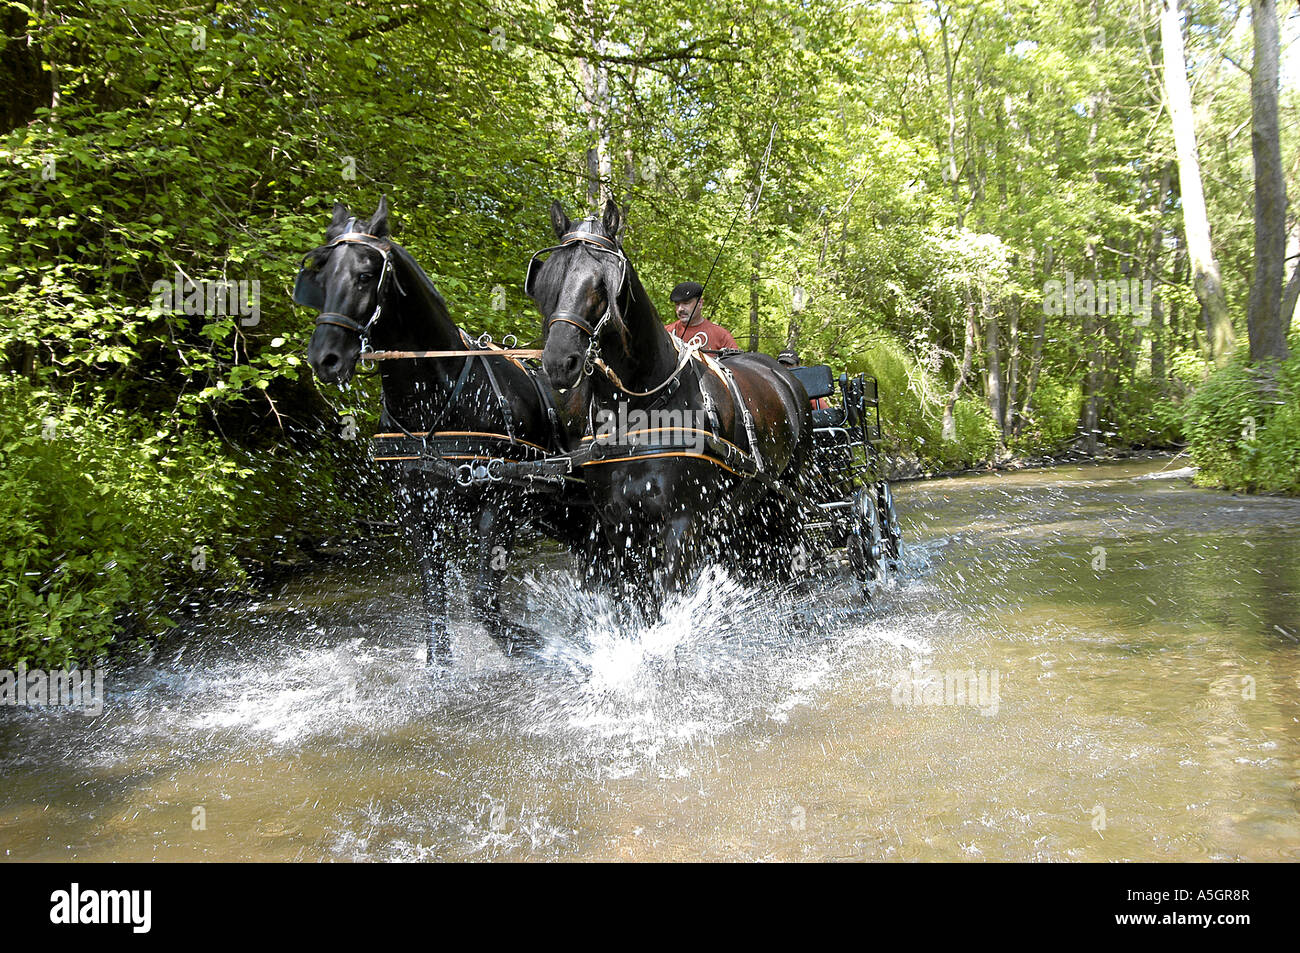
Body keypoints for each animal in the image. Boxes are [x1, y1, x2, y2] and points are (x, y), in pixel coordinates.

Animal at [300, 197, 594, 660]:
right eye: (321, 273)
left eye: (365, 275)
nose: (324, 358)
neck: (435, 406)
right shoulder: (417, 508)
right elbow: (434, 600)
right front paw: (440, 668)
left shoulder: (501, 503)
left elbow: (482, 600)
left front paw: (536, 645)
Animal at [525, 199, 812, 609]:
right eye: (548, 280)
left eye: (602, 284)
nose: (559, 362)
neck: (638, 414)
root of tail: (784, 372)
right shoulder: (618, 524)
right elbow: (637, 602)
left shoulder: (681, 522)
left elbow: (668, 600)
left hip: (789, 492)